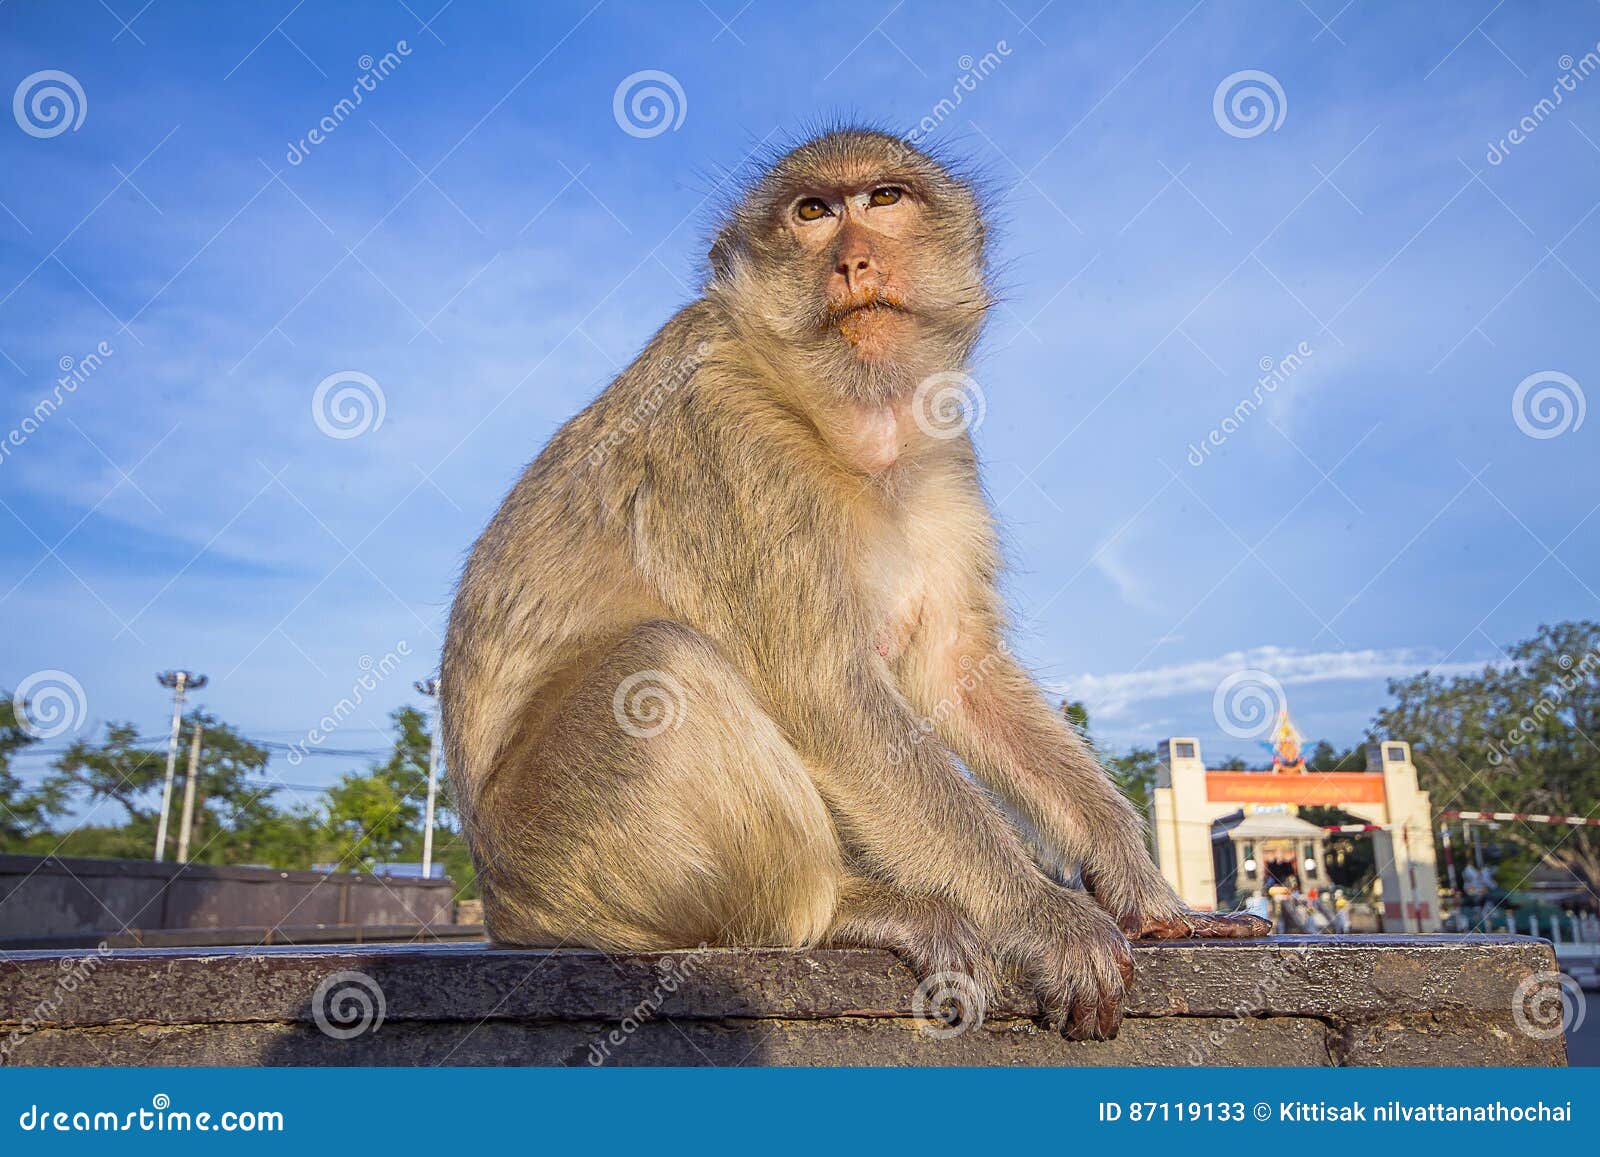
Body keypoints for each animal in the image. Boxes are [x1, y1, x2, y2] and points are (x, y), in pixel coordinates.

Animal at [440, 128, 1269, 1043]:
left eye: (883, 199)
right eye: (812, 212)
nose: (854, 261)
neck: (842, 421)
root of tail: (500, 907)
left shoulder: (943, 458)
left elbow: (953, 668)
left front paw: (1147, 892)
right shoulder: (728, 446)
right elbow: (823, 690)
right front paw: (1047, 917)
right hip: (565, 860)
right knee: (664, 665)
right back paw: (840, 908)